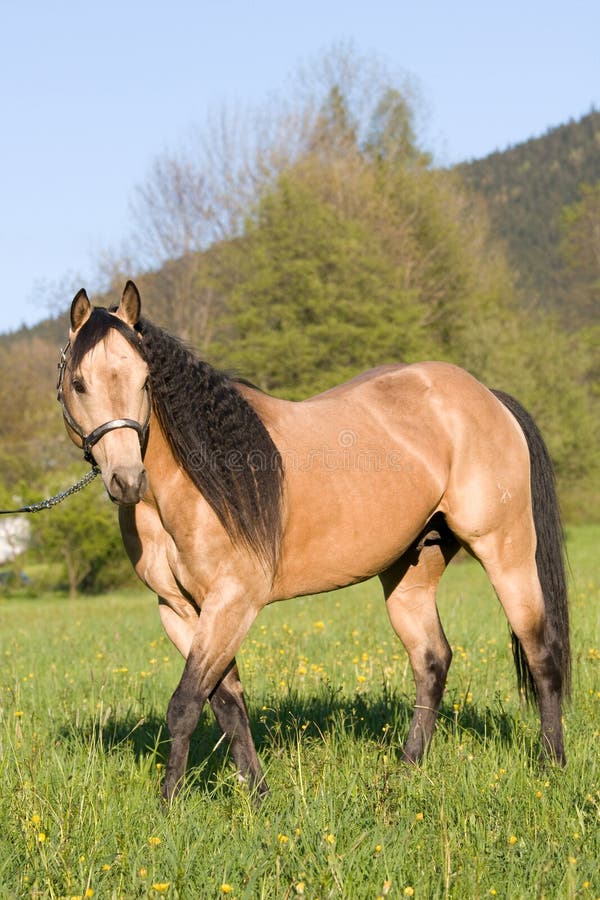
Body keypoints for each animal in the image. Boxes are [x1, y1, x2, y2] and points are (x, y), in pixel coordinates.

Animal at [57, 281, 570, 802]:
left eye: (145, 381)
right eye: (78, 383)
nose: (126, 480)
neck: (203, 481)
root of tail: (488, 398)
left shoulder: (232, 602)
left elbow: (185, 704)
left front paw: (168, 804)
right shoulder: (179, 611)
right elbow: (226, 704)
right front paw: (258, 796)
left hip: (506, 552)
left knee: (541, 654)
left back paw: (552, 767)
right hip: (413, 569)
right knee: (432, 661)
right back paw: (407, 770)